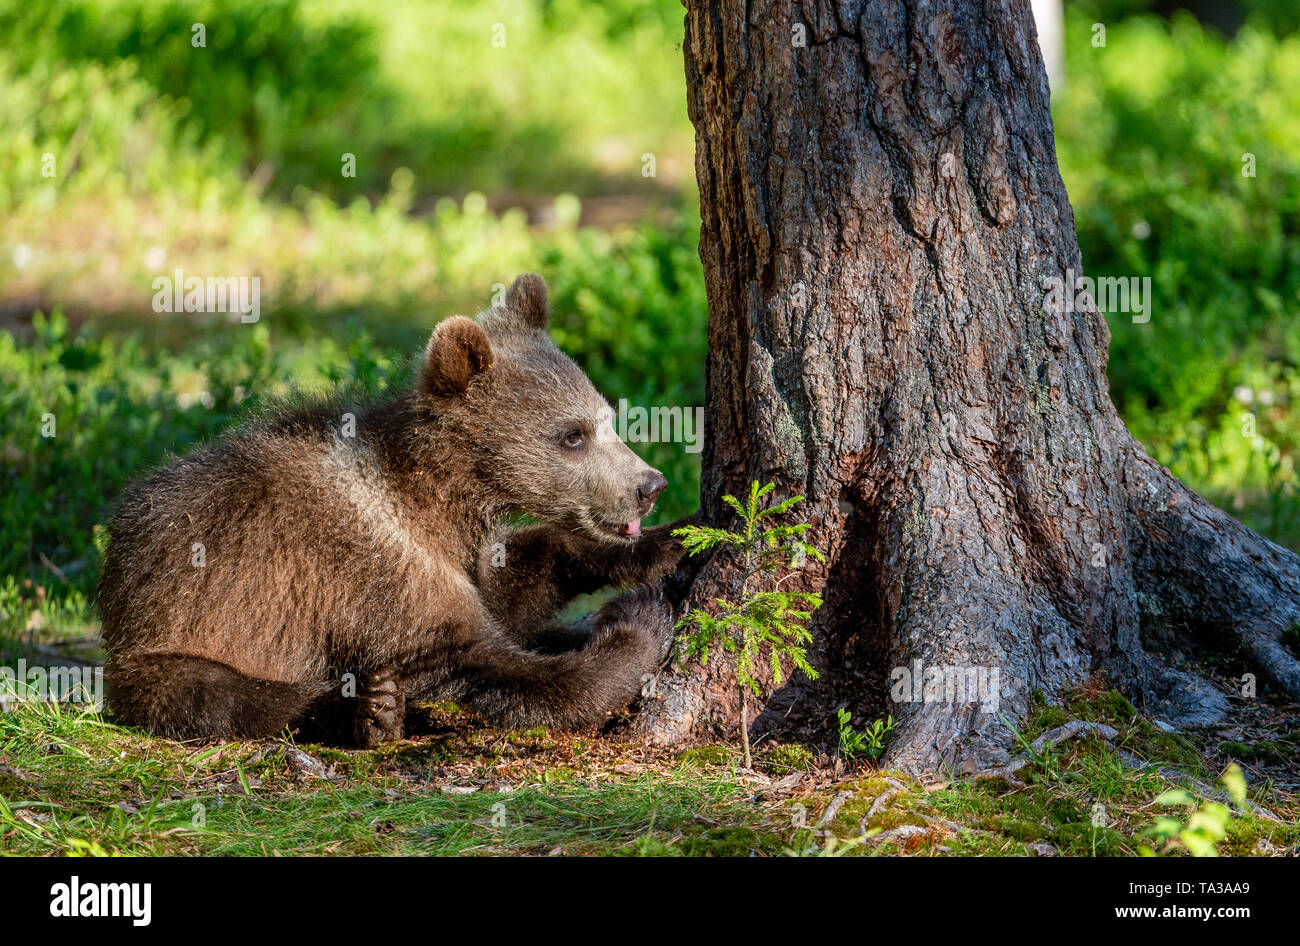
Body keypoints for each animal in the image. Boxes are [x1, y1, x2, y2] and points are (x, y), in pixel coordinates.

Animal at [97, 274, 691, 746]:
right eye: (572, 435)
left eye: (607, 417)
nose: (650, 484)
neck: (437, 495)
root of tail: (118, 583)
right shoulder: (367, 569)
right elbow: (487, 663)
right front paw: (635, 625)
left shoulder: (456, 553)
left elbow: (510, 586)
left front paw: (668, 542)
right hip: (178, 642)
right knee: (236, 700)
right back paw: (374, 712)